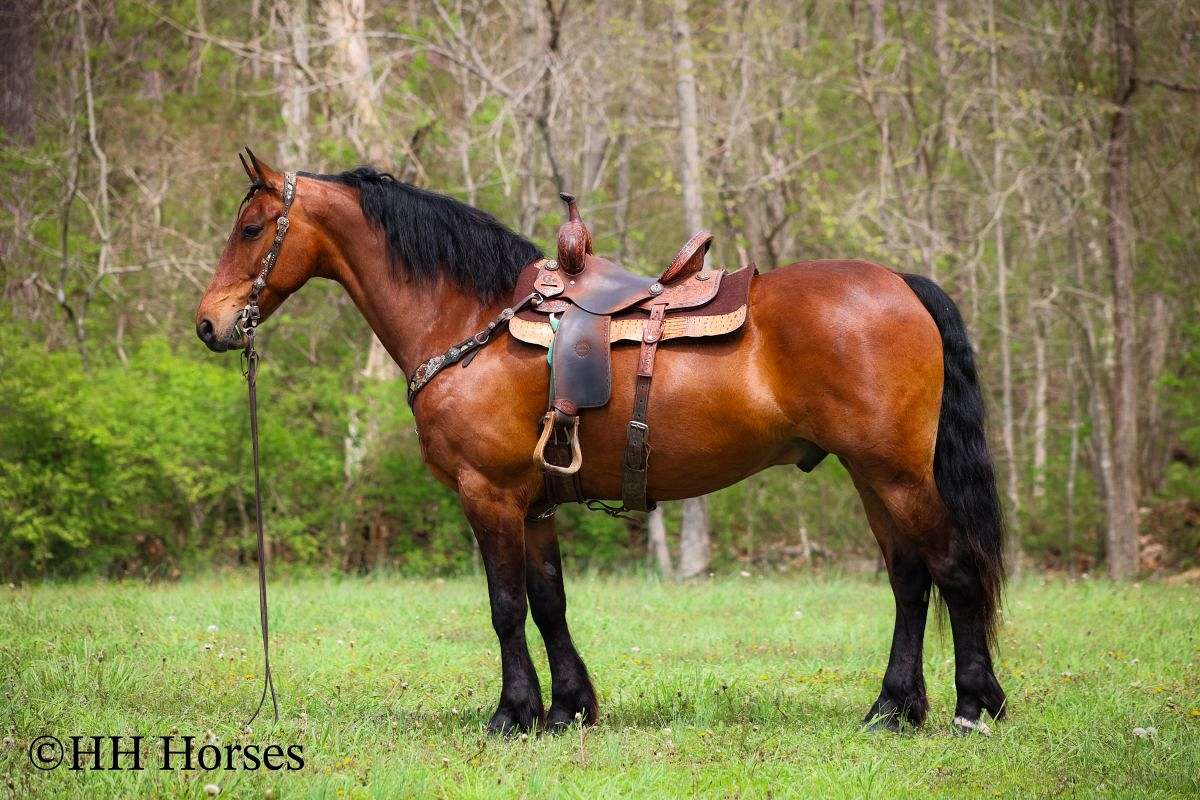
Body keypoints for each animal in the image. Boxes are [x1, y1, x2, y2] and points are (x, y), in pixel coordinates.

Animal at [195, 150, 1007, 736]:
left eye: (250, 229)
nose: (209, 323)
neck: (471, 318)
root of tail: (900, 284)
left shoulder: (489, 495)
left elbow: (506, 605)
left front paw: (512, 714)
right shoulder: (534, 505)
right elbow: (550, 601)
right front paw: (566, 709)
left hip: (898, 474)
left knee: (954, 571)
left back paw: (973, 706)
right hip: (873, 477)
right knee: (910, 582)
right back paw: (892, 709)